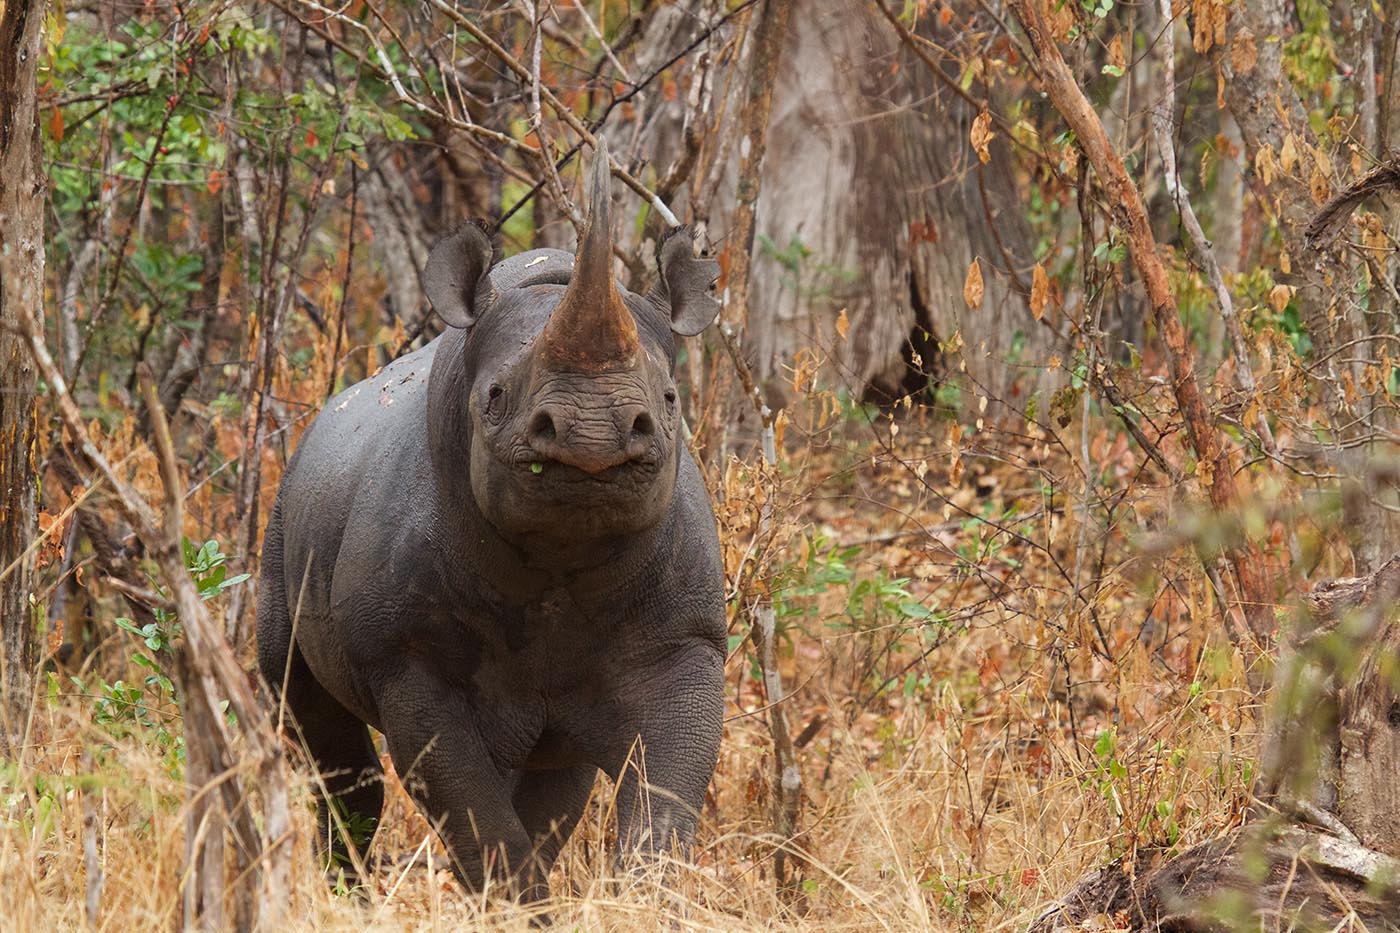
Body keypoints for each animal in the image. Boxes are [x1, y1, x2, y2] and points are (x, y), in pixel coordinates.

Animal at [256, 141, 726, 902]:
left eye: (670, 398)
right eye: (496, 397)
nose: (592, 433)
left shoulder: (687, 642)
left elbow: (665, 796)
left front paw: (643, 900)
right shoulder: (408, 658)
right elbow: (475, 810)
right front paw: (507, 905)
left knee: (554, 776)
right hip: (278, 530)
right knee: (326, 745)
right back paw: (343, 888)